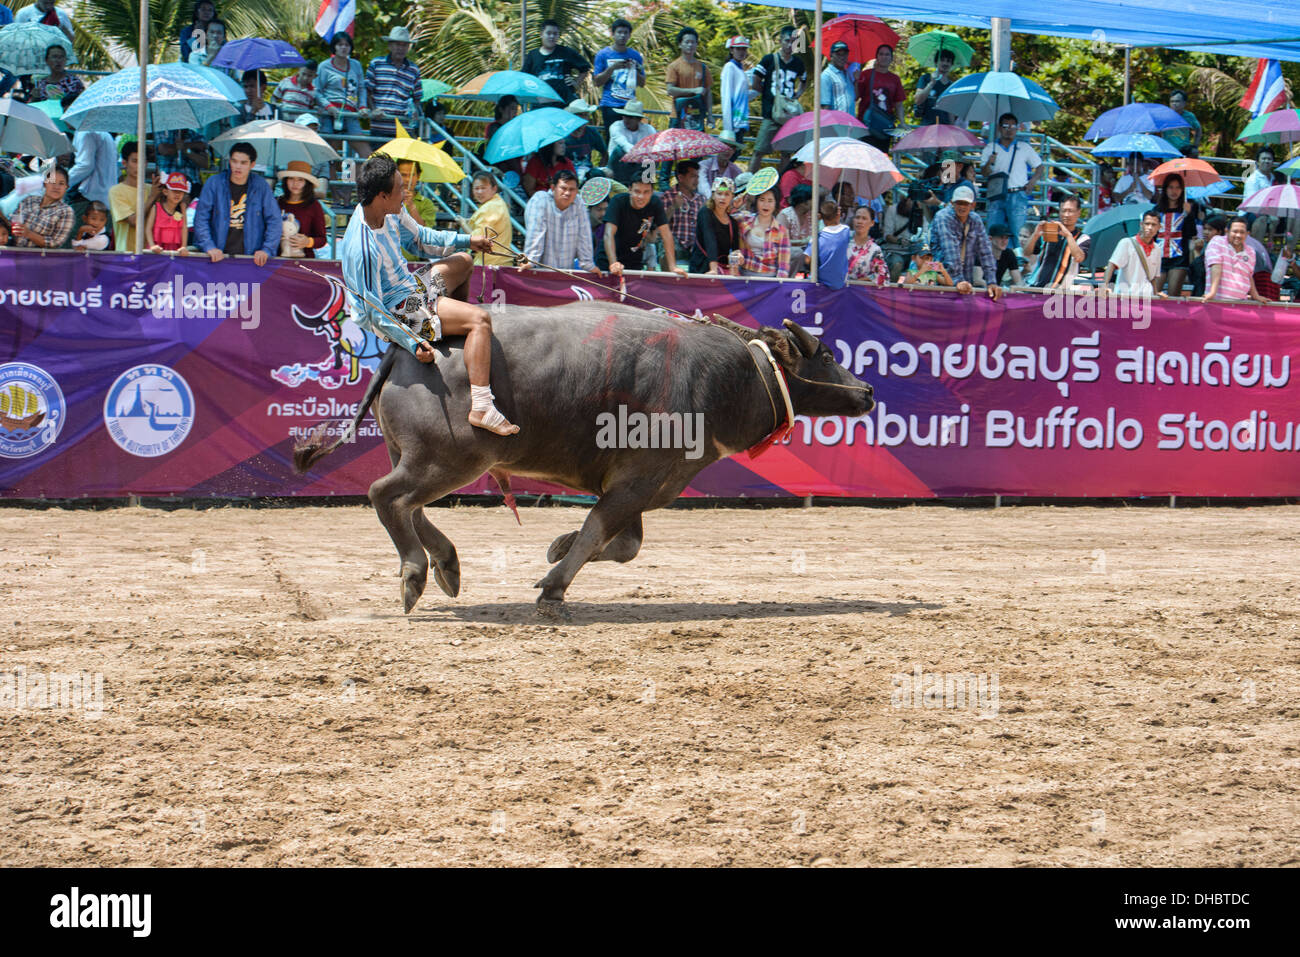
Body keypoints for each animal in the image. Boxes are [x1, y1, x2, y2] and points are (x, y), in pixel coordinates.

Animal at [294, 302, 874, 616]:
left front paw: (557, 548)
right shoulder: (638, 482)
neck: (724, 380)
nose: (867, 391)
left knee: (409, 508)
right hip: (446, 461)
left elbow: (623, 545)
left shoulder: (637, 485)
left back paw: (448, 565)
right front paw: (554, 584)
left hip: (419, 457)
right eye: (826, 354)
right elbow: (599, 534)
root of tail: (409, 343)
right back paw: (416, 572)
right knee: (387, 497)